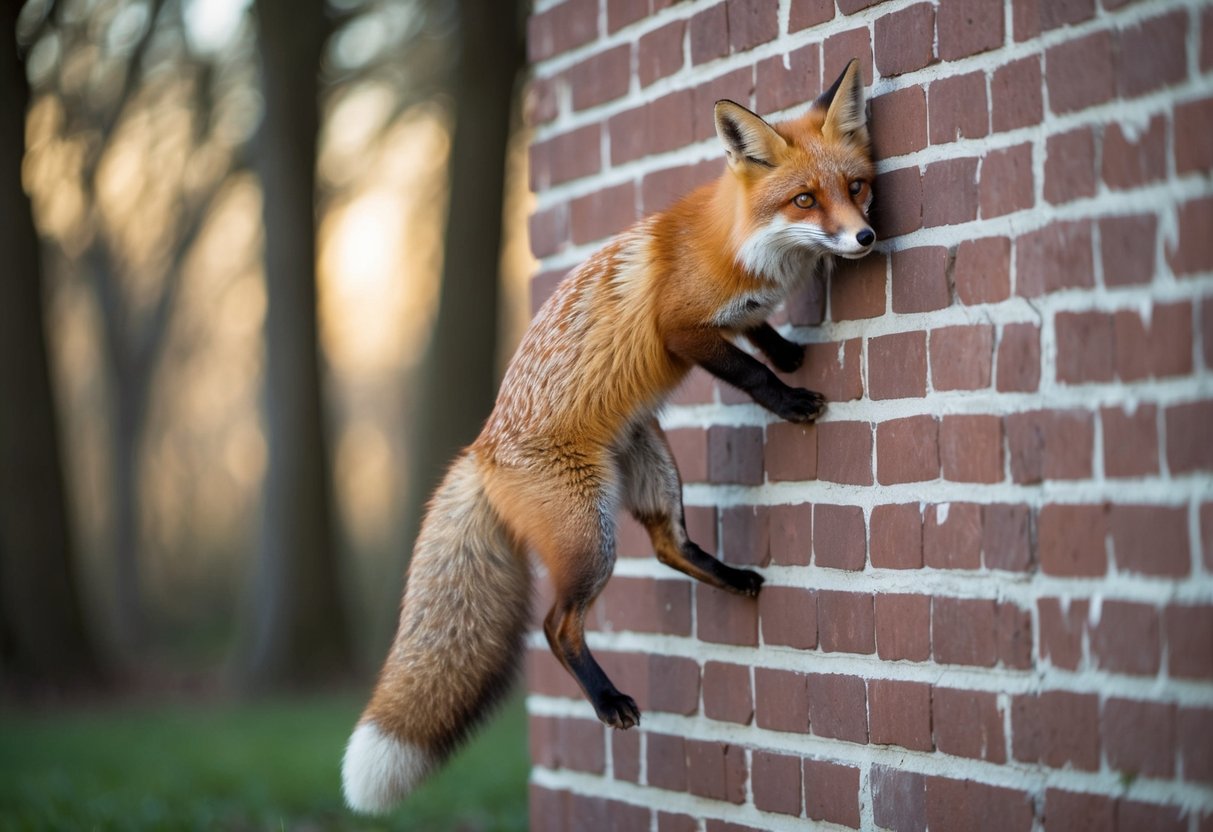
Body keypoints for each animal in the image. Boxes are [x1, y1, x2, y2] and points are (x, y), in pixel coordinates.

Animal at [341, 58, 875, 814]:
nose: (864, 239)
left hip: (653, 469)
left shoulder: (730, 318)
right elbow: (744, 366)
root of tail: (479, 450)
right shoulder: (680, 328)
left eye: (854, 187)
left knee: (669, 546)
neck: (739, 241)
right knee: (557, 626)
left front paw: (788, 351)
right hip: (588, 536)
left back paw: (735, 579)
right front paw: (789, 397)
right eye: (804, 200)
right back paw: (607, 700)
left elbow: (755, 331)